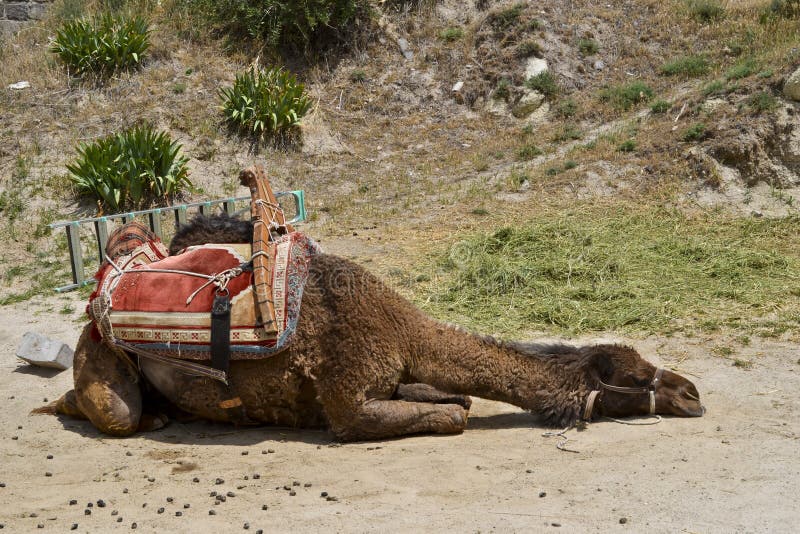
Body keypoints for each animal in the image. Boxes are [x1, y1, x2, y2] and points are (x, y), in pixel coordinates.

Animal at [38, 214, 703, 441]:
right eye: (633, 377)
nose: (693, 392)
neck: (403, 332)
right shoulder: (348, 403)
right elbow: (453, 416)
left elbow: (455, 398)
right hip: (100, 356)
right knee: (112, 410)